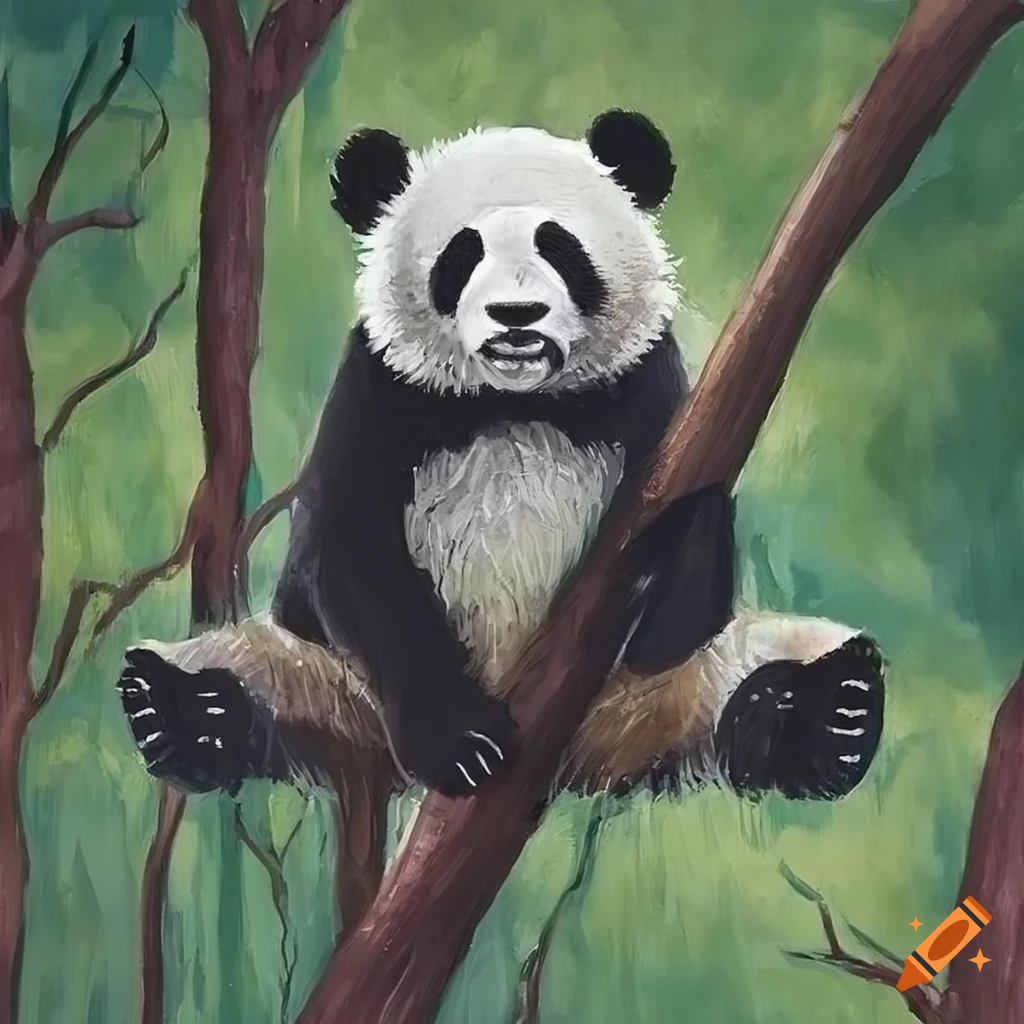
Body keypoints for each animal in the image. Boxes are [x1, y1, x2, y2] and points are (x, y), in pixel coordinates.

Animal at [116, 110, 885, 804]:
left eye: (561, 248)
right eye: (463, 255)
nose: (518, 316)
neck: (514, 400)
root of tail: (586, 762)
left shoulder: (655, 393)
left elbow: (685, 609)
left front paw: (668, 538)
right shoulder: (375, 391)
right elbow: (343, 552)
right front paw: (460, 747)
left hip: (660, 691)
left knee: (756, 669)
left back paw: (820, 714)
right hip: (338, 688)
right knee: (249, 674)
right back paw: (187, 712)